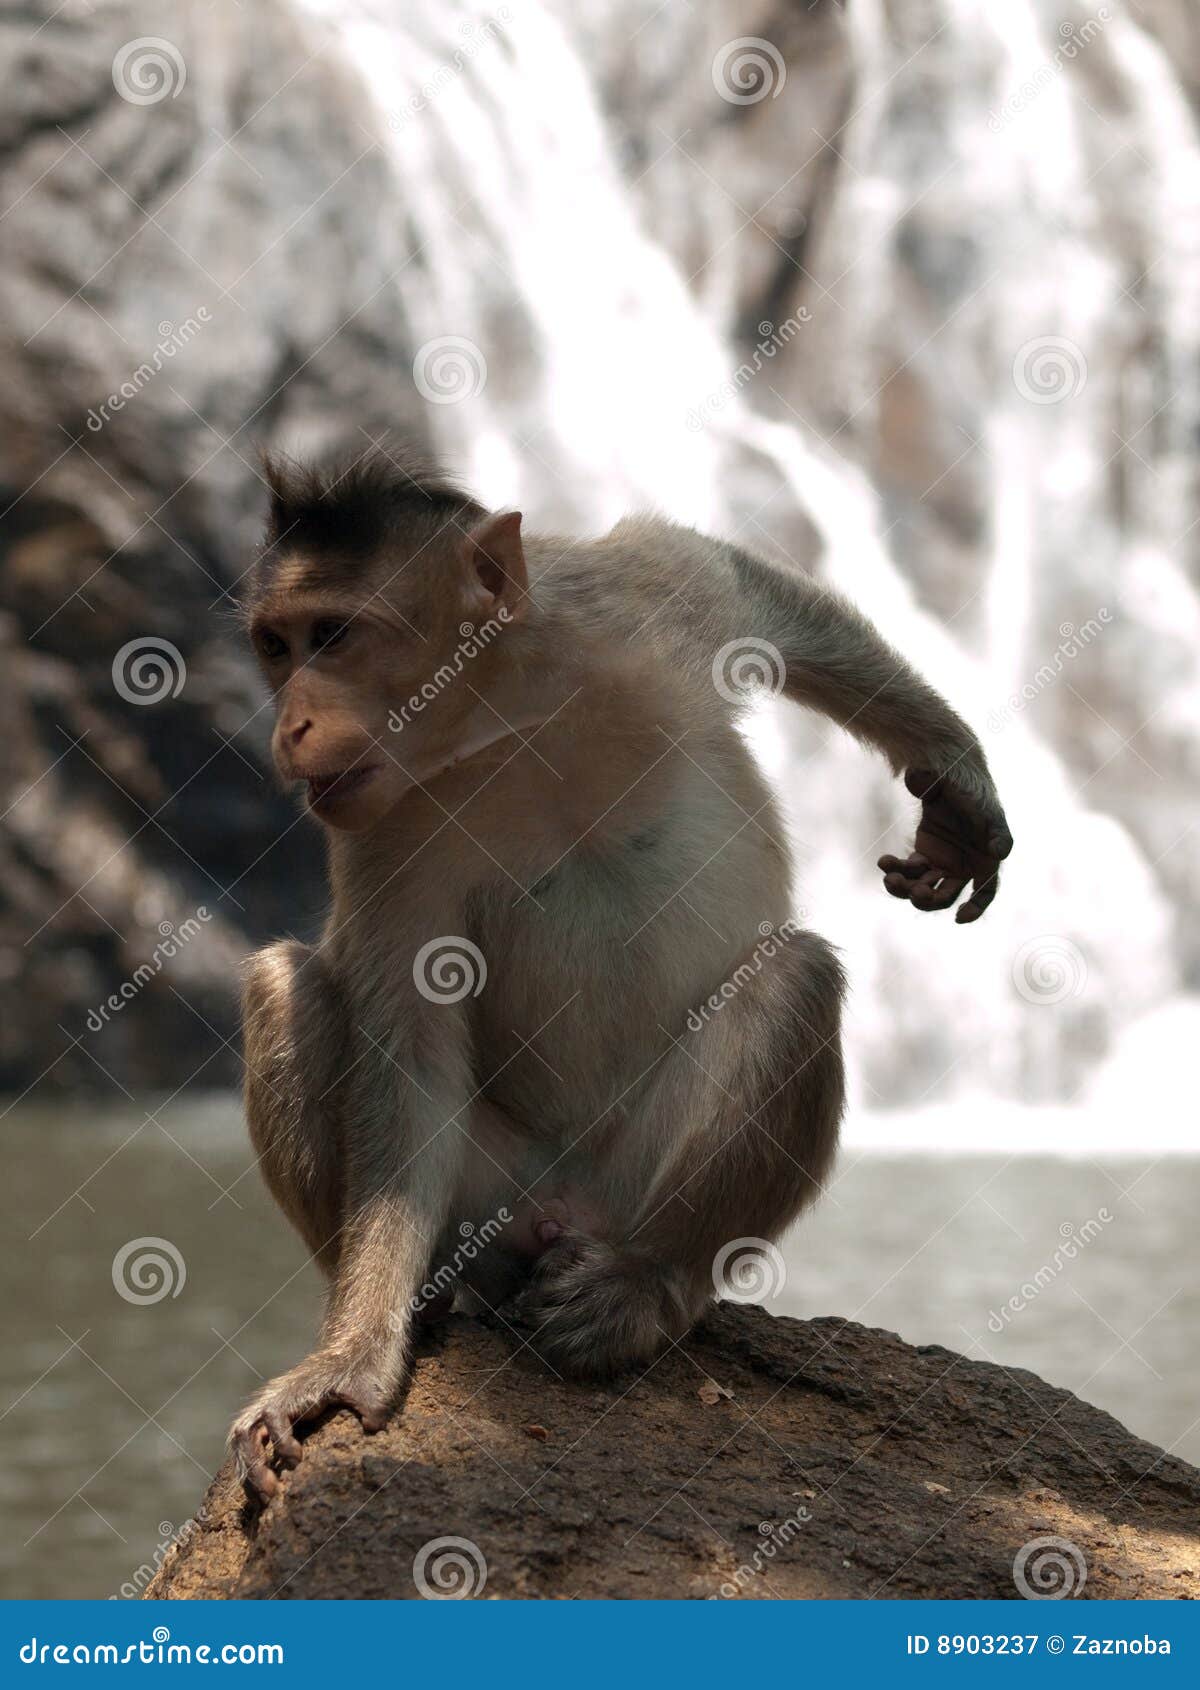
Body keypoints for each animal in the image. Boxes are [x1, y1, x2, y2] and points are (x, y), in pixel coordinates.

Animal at [229, 446, 1012, 1502]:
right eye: (276, 645)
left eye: (336, 635)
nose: (292, 726)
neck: (502, 723)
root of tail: (559, 1216)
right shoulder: (381, 832)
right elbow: (410, 1055)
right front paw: (351, 1357)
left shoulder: (634, 609)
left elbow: (748, 589)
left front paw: (956, 777)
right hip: (486, 1204)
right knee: (283, 983)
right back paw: (438, 1303)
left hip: (633, 1177)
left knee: (795, 975)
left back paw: (646, 1286)